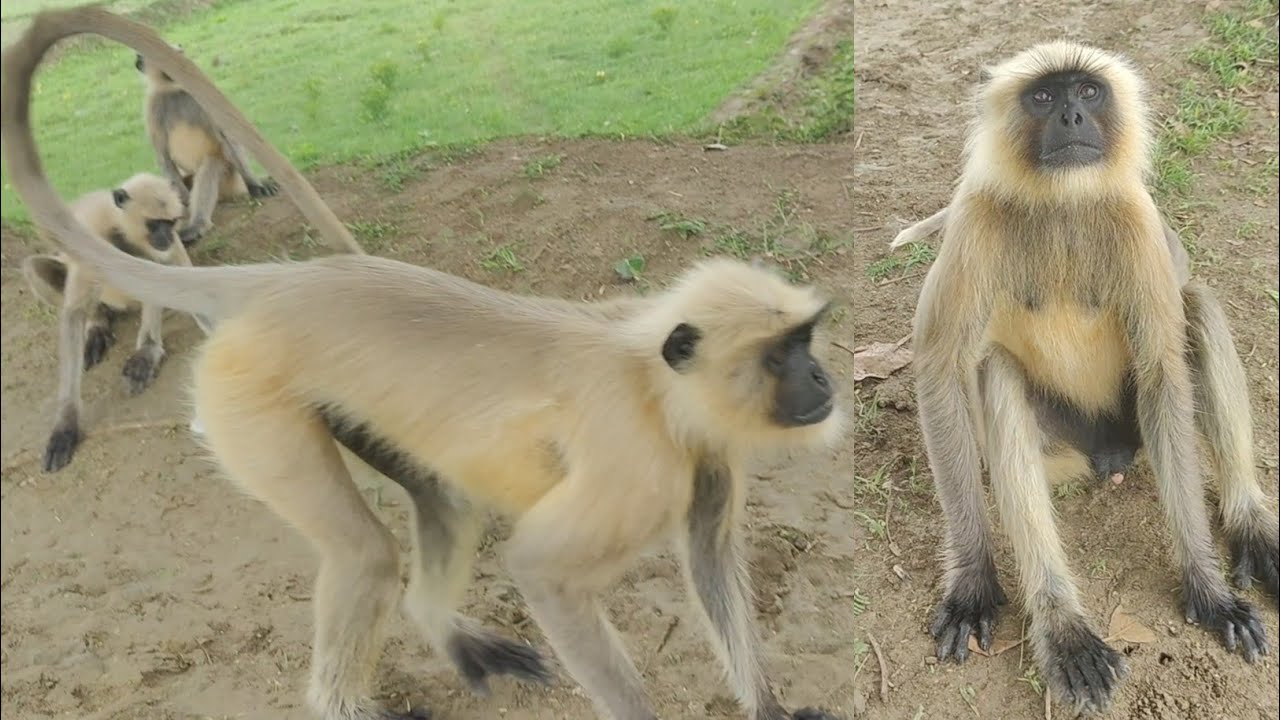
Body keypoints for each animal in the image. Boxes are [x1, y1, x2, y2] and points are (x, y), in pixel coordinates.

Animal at [21, 172, 202, 473]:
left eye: (170, 222)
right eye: (154, 224)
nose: (165, 236)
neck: (118, 229)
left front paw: (145, 356)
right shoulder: (89, 234)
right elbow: (73, 312)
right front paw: (65, 424)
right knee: (37, 269)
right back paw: (97, 325)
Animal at [902, 41, 1278, 714]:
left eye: (1088, 92)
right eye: (1044, 96)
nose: (1072, 117)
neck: (1063, 202)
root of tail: (1109, 454)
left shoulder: (1137, 219)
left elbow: (1163, 371)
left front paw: (1207, 591)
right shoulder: (974, 219)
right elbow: (941, 370)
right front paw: (972, 581)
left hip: (1135, 427)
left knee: (1195, 305)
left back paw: (1250, 525)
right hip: (1062, 447)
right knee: (996, 372)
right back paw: (1065, 629)